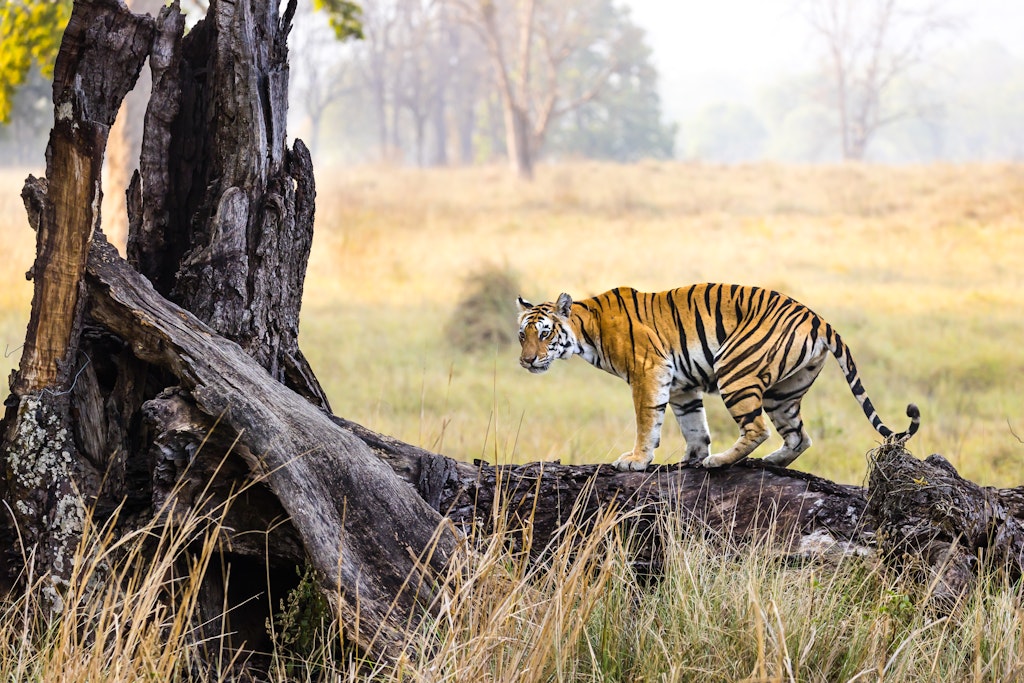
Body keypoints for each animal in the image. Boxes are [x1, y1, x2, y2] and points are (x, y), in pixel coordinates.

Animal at [516, 284, 920, 471]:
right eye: (523, 335)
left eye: (545, 334)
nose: (526, 361)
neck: (587, 330)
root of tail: (818, 317)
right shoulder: (681, 385)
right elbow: (694, 426)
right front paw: (690, 459)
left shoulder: (649, 371)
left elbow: (647, 421)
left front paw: (637, 460)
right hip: (783, 393)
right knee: (799, 436)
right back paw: (769, 462)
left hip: (734, 367)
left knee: (758, 428)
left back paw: (722, 462)